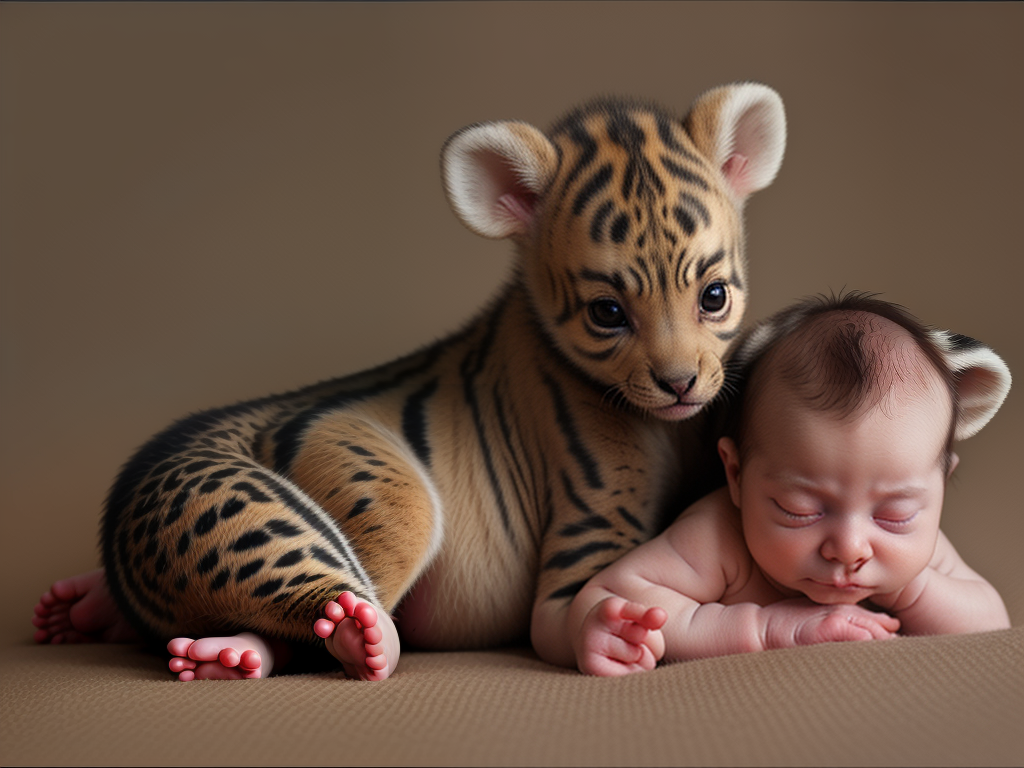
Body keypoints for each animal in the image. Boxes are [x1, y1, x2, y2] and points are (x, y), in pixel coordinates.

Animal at [89, 82, 790, 678]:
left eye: (714, 296)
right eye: (607, 314)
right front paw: (612, 632)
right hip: (362, 495)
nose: (680, 384)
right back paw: (290, 646)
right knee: (328, 617)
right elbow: (573, 610)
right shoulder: (588, 520)